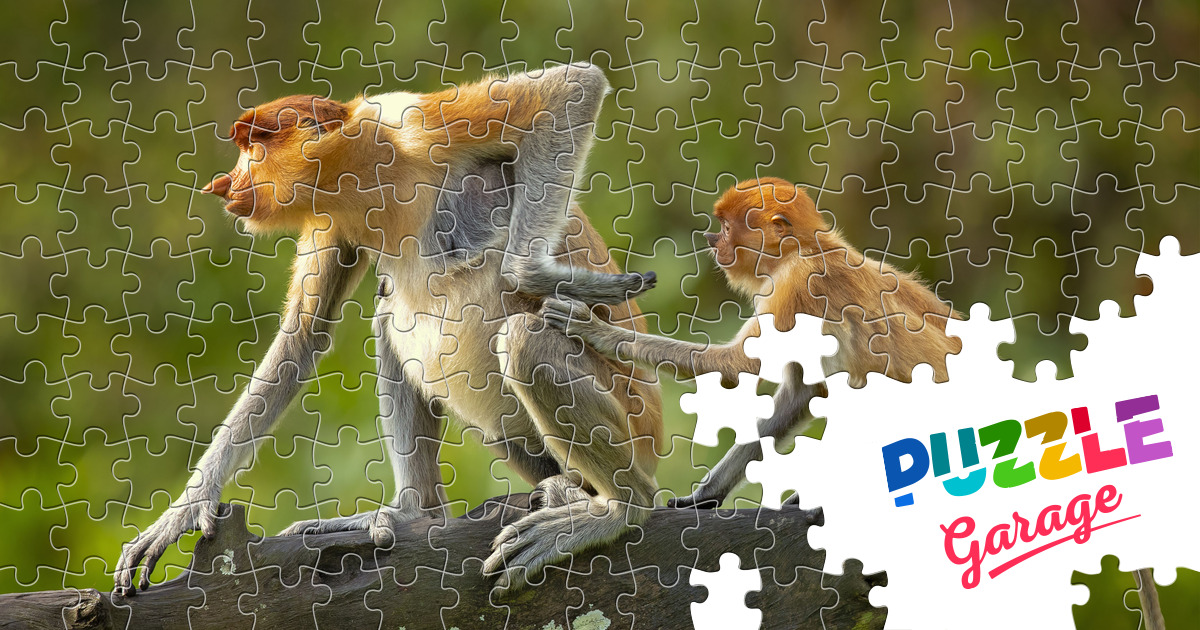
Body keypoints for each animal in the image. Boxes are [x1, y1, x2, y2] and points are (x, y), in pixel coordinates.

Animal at [113, 63, 664, 596]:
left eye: (256, 146)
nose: (226, 183)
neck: (362, 172)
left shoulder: (409, 124)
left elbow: (569, 88)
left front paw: (537, 274)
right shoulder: (330, 215)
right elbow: (303, 336)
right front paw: (181, 513)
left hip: (632, 423)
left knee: (523, 338)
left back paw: (620, 508)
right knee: (390, 318)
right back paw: (416, 514)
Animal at [545, 177, 962, 508]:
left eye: (727, 227)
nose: (712, 240)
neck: (805, 250)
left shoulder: (795, 289)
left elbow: (739, 366)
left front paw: (597, 331)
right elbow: (801, 393)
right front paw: (705, 494)